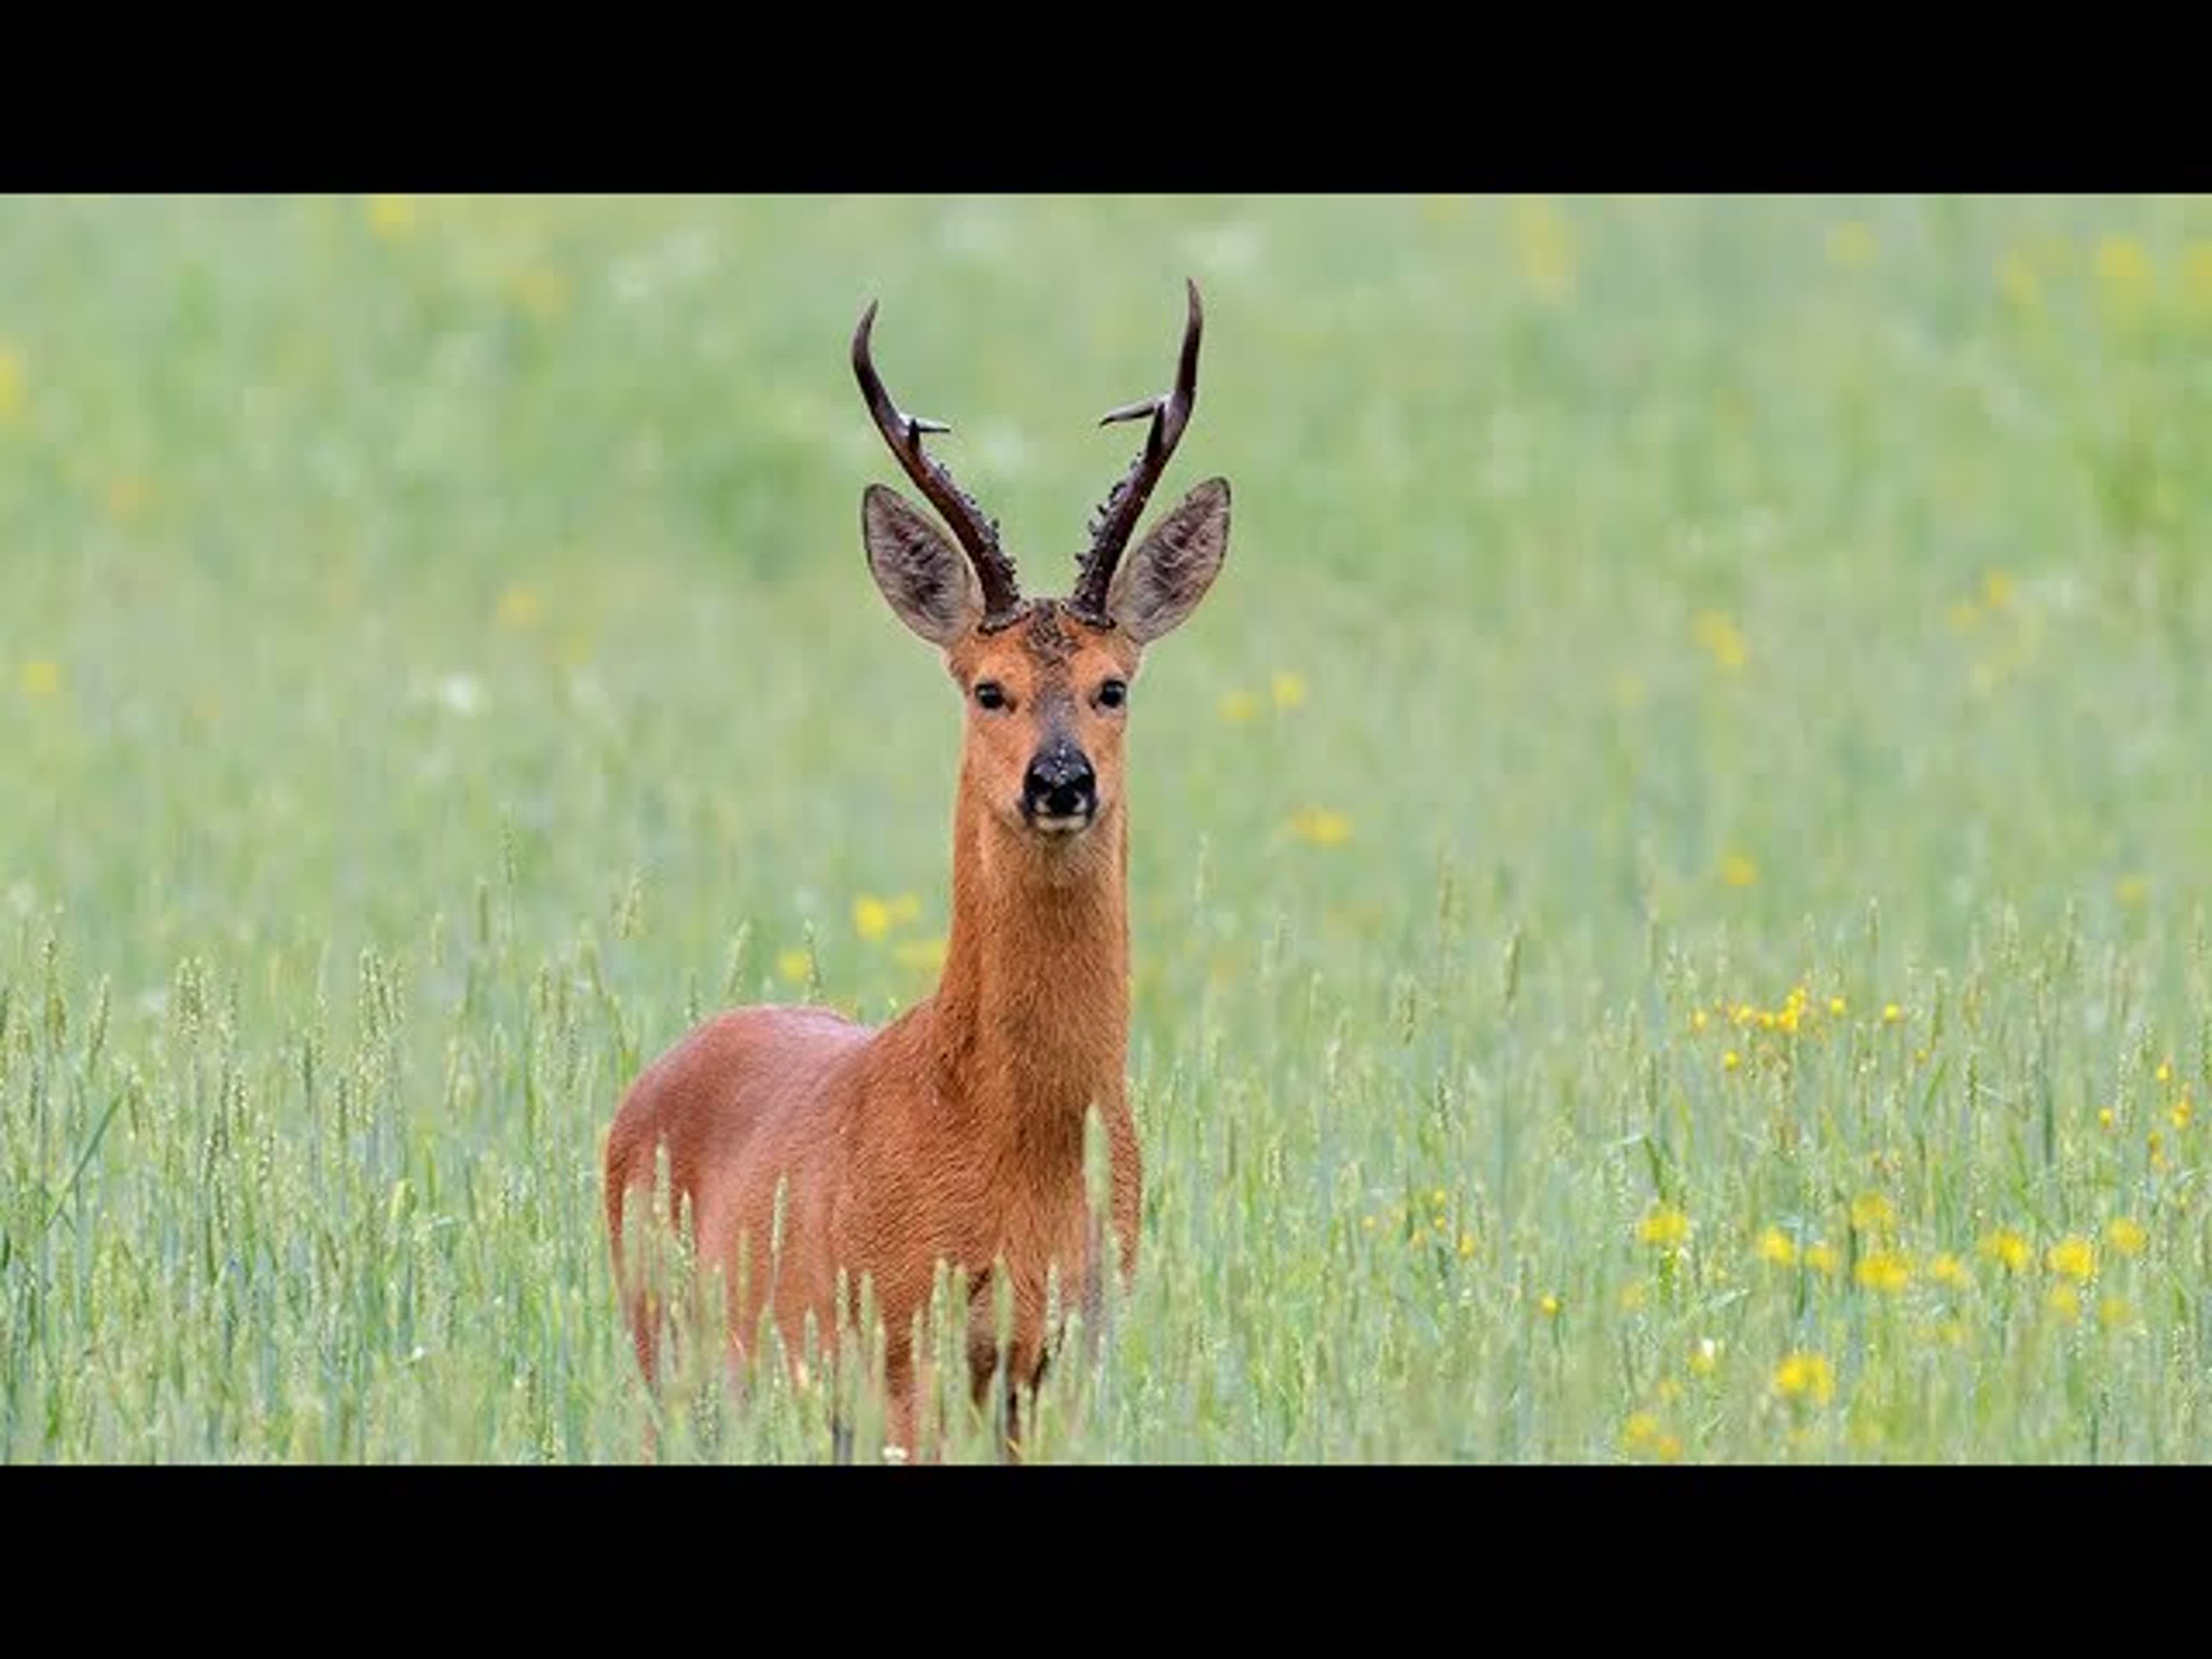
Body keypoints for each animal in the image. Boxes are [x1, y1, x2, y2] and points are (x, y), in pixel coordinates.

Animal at [601, 279, 1230, 1462]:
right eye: (987, 688)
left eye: (1114, 685)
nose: (1060, 780)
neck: (1014, 1143)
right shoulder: (901, 1345)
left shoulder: (1070, 1352)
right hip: (670, 1348)